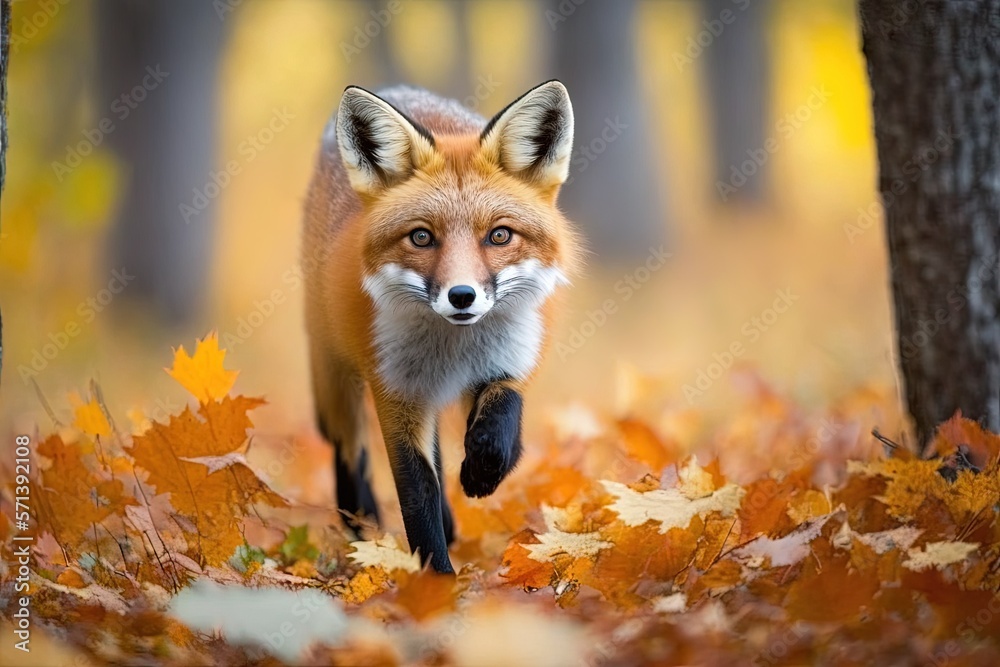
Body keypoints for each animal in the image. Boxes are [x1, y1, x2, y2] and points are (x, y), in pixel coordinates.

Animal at [302, 80, 581, 573]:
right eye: (421, 237)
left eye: (500, 235)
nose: (462, 296)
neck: (455, 349)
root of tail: (402, 89)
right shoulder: (396, 392)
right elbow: (418, 494)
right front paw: (437, 581)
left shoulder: (510, 362)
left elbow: (503, 424)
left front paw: (483, 470)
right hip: (334, 370)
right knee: (348, 445)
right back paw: (361, 521)